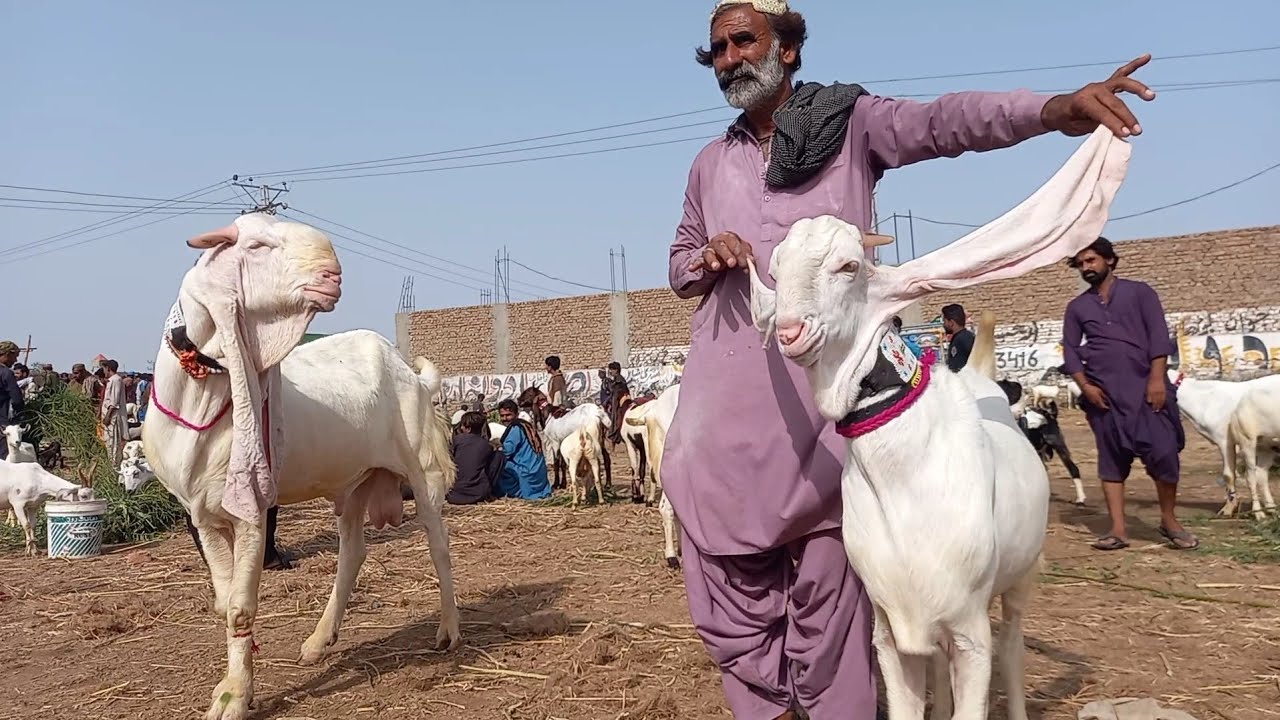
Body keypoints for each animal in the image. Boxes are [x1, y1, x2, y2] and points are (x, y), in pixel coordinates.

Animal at [140, 214, 460, 720]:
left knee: (438, 543)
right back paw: (318, 639)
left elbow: (240, 607)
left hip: (422, 467)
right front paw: (236, 679)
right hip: (355, 480)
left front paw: (234, 696)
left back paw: (449, 628)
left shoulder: (249, 511)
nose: (333, 277)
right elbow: (225, 601)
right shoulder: (201, 513)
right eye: (256, 245)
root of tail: (408, 369)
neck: (200, 390)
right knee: (352, 552)